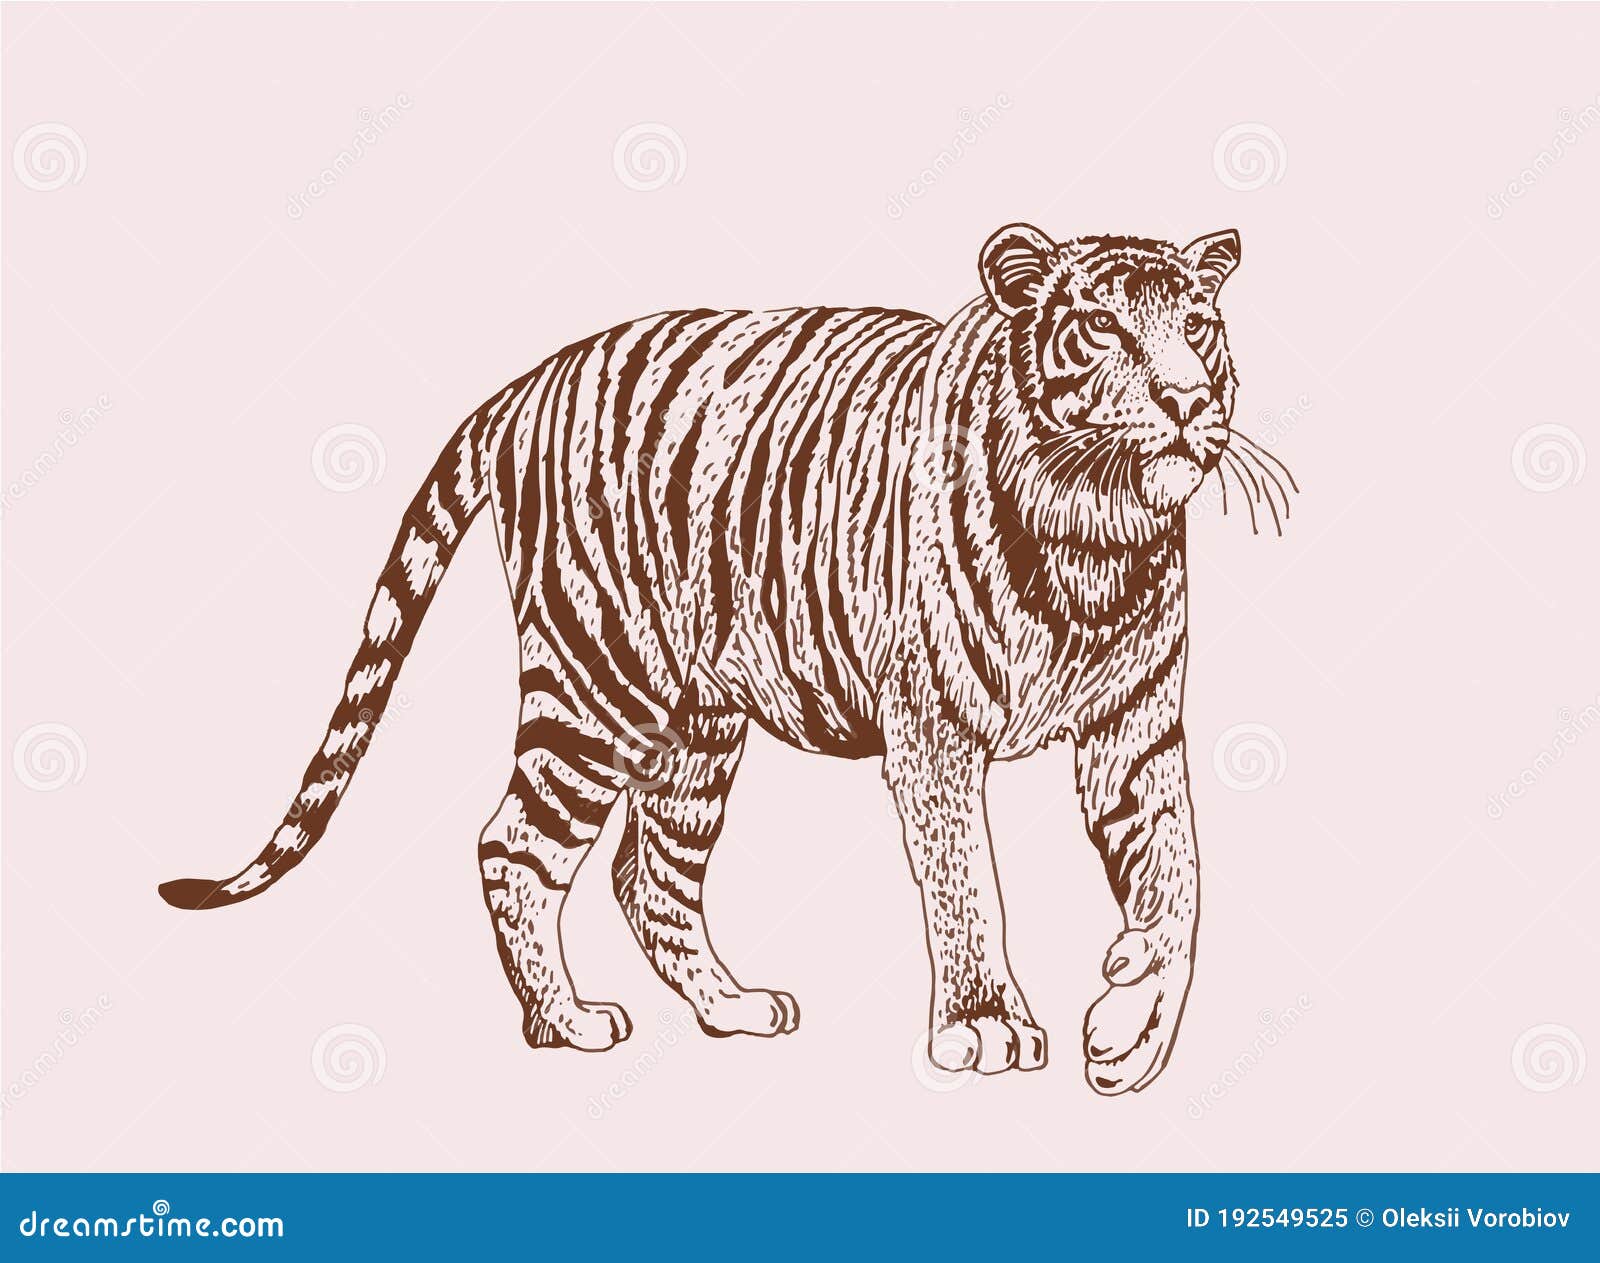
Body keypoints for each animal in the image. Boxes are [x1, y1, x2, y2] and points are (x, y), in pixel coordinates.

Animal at [161, 222, 1292, 1094]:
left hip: (693, 729)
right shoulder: (932, 735)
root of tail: (526, 382)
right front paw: (984, 1024)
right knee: (512, 845)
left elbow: (1180, 876)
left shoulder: (1134, 732)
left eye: (1197, 327)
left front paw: (1135, 1027)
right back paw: (568, 1023)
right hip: (594, 685)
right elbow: (967, 881)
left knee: (646, 871)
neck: (1097, 539)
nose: (1189, 401)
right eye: (1103, 328)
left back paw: (732, 1007)